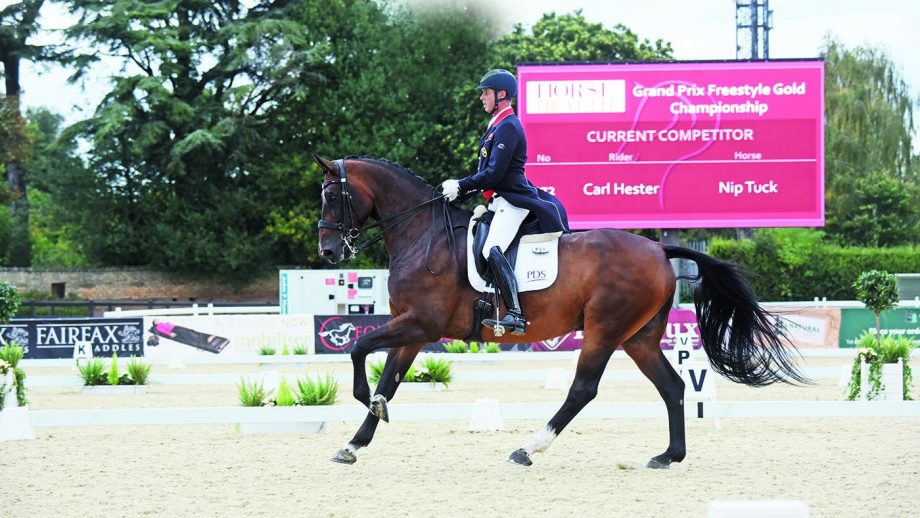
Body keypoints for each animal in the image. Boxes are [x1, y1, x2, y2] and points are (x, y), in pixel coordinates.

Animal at [315, 154, 807, 468]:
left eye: (333, 197)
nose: (328, 251)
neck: (423, 235)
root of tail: (658, 248)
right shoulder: (413, 330)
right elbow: (389, 381)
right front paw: (355, 442)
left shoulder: (420, 323)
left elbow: (358, 349)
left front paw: (366, 403)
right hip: (639, 337)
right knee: (672, 386)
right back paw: (669, 456)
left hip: (605, 330)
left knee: (582, 390)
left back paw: (528, 449)